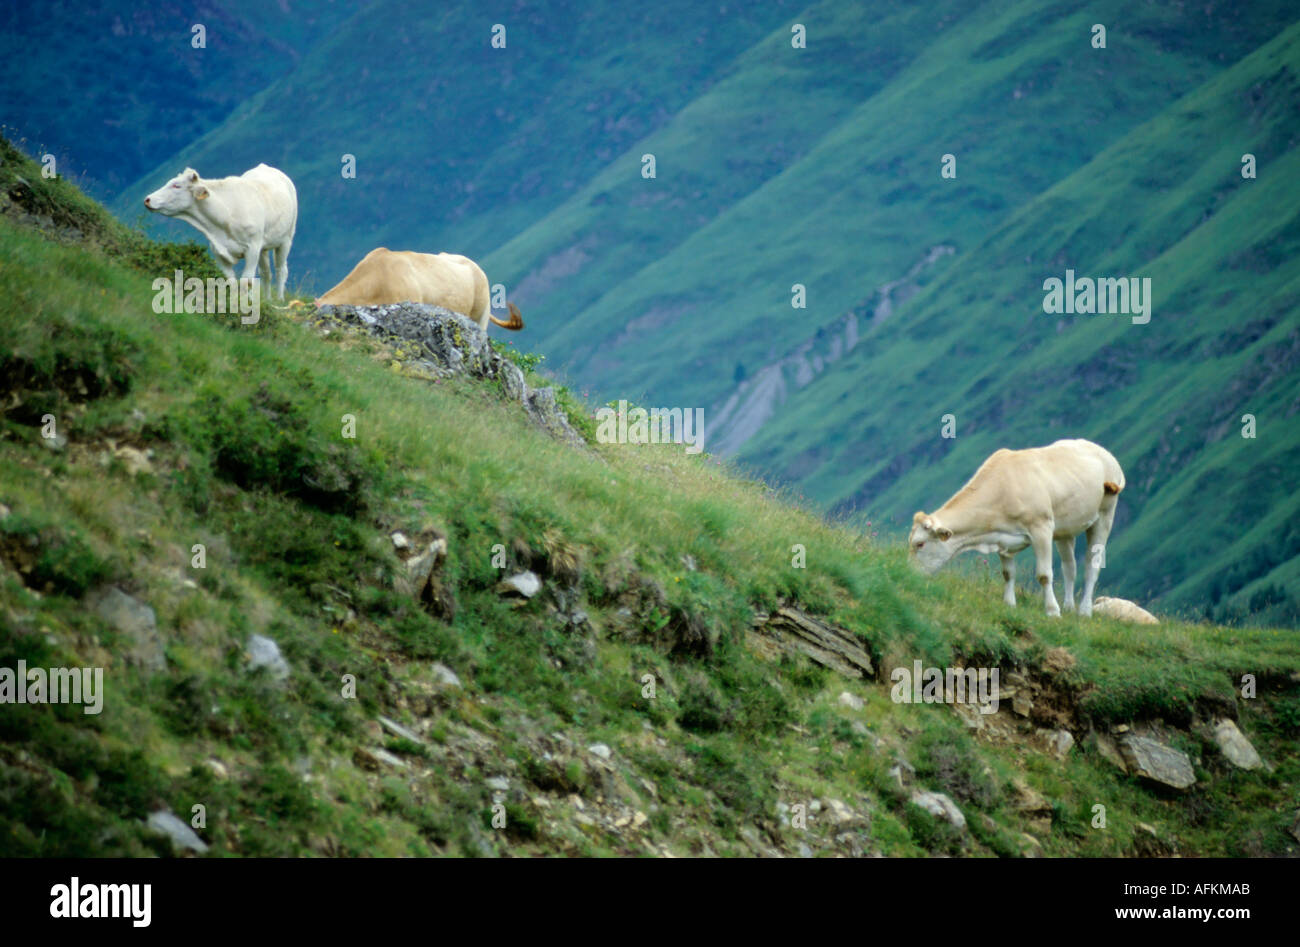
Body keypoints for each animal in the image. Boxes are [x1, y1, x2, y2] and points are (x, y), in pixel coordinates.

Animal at [144, 164, 297, 300]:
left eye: (177, 186)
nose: (147, 199)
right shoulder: (218, 252)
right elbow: (230, 282)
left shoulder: (252, 248)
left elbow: (246, 281)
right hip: (263, 248)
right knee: (266, 273)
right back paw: (268, 300)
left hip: (286, 239)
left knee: (281, 270)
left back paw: (280, 300)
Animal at [908, 438, 1125, 617]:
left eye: (920, 544)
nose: (909, 573)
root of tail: (1103, 452)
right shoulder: (1001, 538)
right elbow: (1008, 573)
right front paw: (1010, 604)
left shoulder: (1041, 528)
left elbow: (1044, 574)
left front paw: (1052, 611)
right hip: (1065, 529)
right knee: (1069, 567)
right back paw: (1069, 607)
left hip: (1105, 514)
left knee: (1091, 566)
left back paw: (1084, 611)